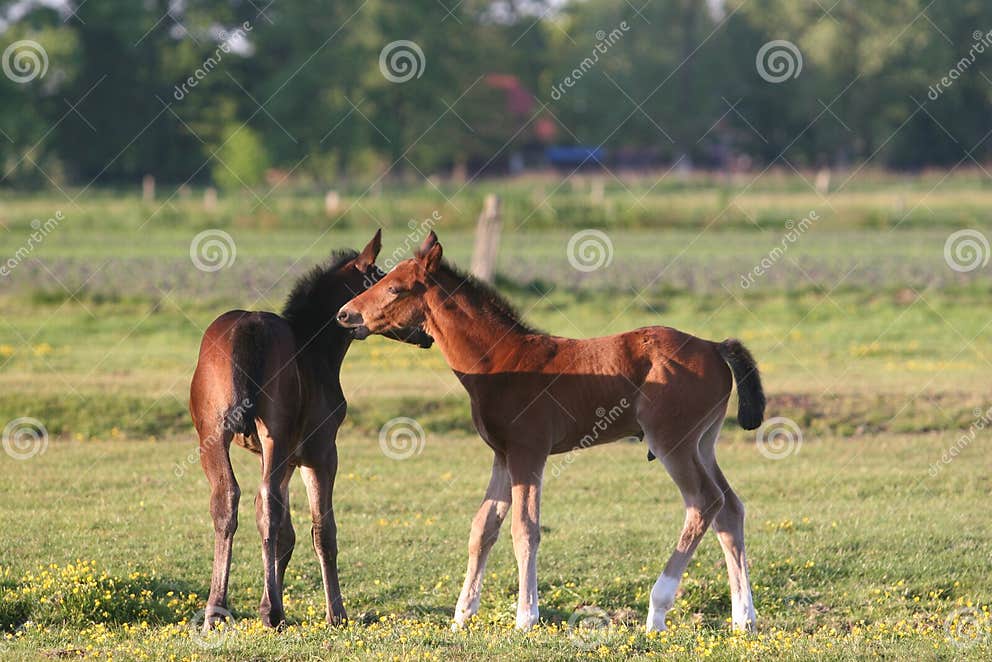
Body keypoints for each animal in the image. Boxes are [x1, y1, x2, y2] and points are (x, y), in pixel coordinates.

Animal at [189, 230, 433, 629]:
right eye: (387, 284)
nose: (425, 333)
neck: (313, 348)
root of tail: (249, 329)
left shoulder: (283, 455)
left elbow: (284, 532)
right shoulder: (319, 452)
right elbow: (322, 530)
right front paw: (336, 613)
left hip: (213, 435)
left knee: (228, 502)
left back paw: (216, 611)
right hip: (276, 435)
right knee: (268, 510)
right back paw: (272, 613)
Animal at [335, 231, 766, 633]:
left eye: (394, 287)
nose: (344, 314)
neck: (501, 361)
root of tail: (714, 346)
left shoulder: (528, 452)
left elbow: (524, 529)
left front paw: (526, 616)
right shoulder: (503, 455)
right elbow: (483, 528)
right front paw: (462, 615)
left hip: (672, 442)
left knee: (704, 502)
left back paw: (657, 611)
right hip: (703, 442)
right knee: (730, 509)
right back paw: (743, 618)